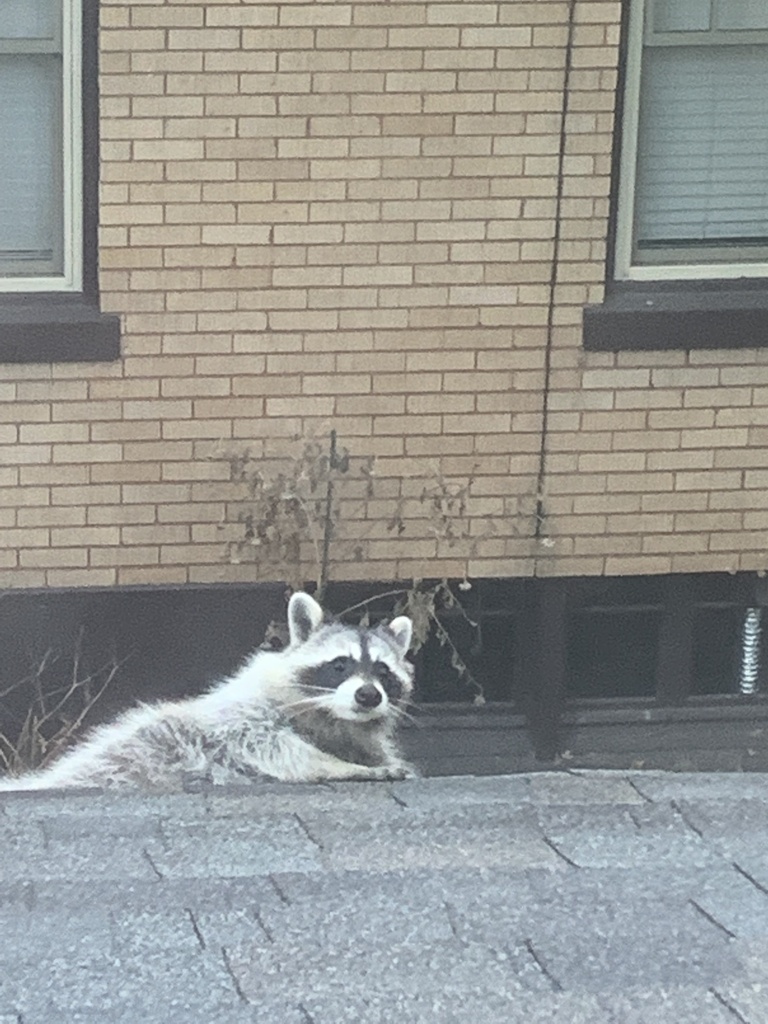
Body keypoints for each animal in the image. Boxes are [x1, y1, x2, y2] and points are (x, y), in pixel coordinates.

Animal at [0, 593, 418, 791]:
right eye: (340, 665)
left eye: (384, 672)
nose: (368, 696)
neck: (330, 719)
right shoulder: (241, 715)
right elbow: (273, 748)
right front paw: (341, 767)